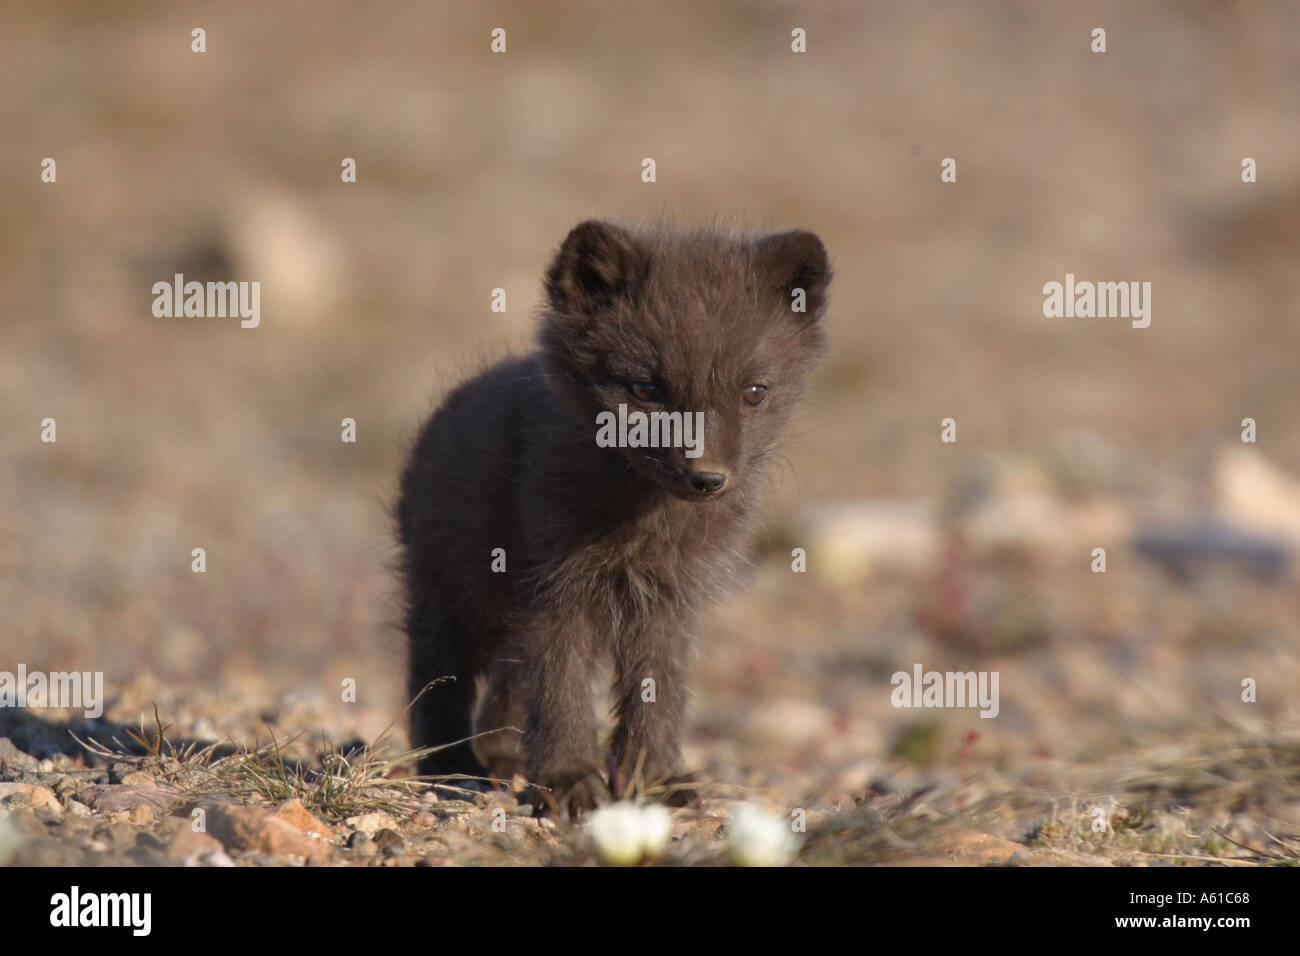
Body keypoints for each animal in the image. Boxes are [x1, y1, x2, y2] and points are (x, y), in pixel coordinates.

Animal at [397, 220, 830, 818]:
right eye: (645, 390)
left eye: (754, 392)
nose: (707, 478)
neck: (644, 520)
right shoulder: (552, 591)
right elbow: (559, 690)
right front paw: (568, 782)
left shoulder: (669, 599)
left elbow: (660, 688)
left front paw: (656, 781)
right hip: (446, 587)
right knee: (436, 675)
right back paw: (450, 767)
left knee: (506, 682)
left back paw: (502, 758)